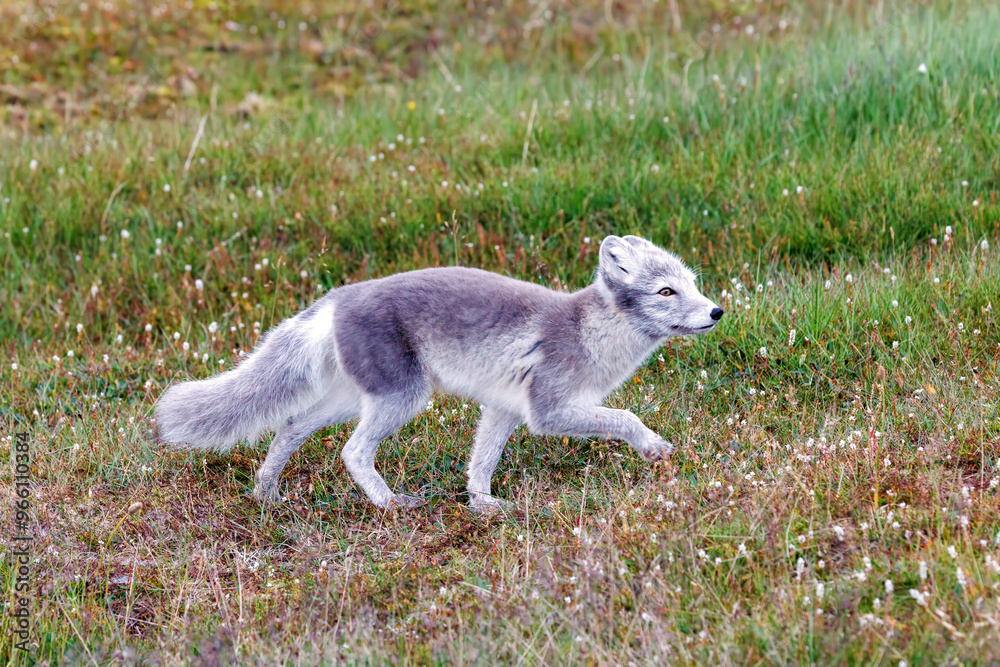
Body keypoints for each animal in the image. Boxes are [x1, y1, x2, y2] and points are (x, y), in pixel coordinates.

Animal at [154, 235, 724, 511]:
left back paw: (265, 492)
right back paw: (390, 505)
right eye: (666, 291)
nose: (717, 312)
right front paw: (653, 447)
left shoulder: (503, 408)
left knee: (291, 425)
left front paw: (484, 506)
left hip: (351, 399)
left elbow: (481, 462)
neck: (595, 333)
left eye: (693, 284)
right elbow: (625, 417)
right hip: (403, 397)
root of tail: (338, 297)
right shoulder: (547, 409)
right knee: (351, 451)